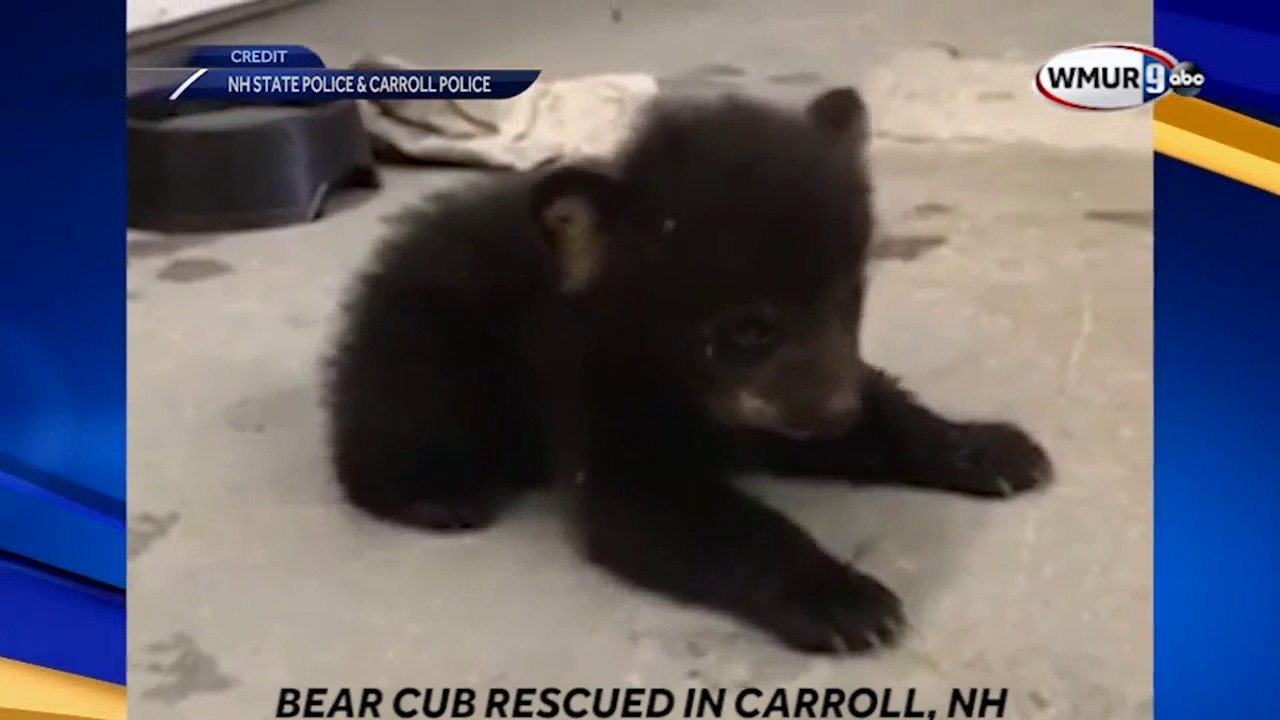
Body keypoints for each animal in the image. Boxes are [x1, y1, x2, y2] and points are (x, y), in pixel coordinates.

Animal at [322, 85, 1052, 654]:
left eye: (848, 298)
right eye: (748, 328)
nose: (838, 412)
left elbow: (882, 407)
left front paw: (981, 445)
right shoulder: (596, 393)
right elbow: (672, 509)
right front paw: (839, 597)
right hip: (428, 350)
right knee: (398, 424)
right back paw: (437, 495)